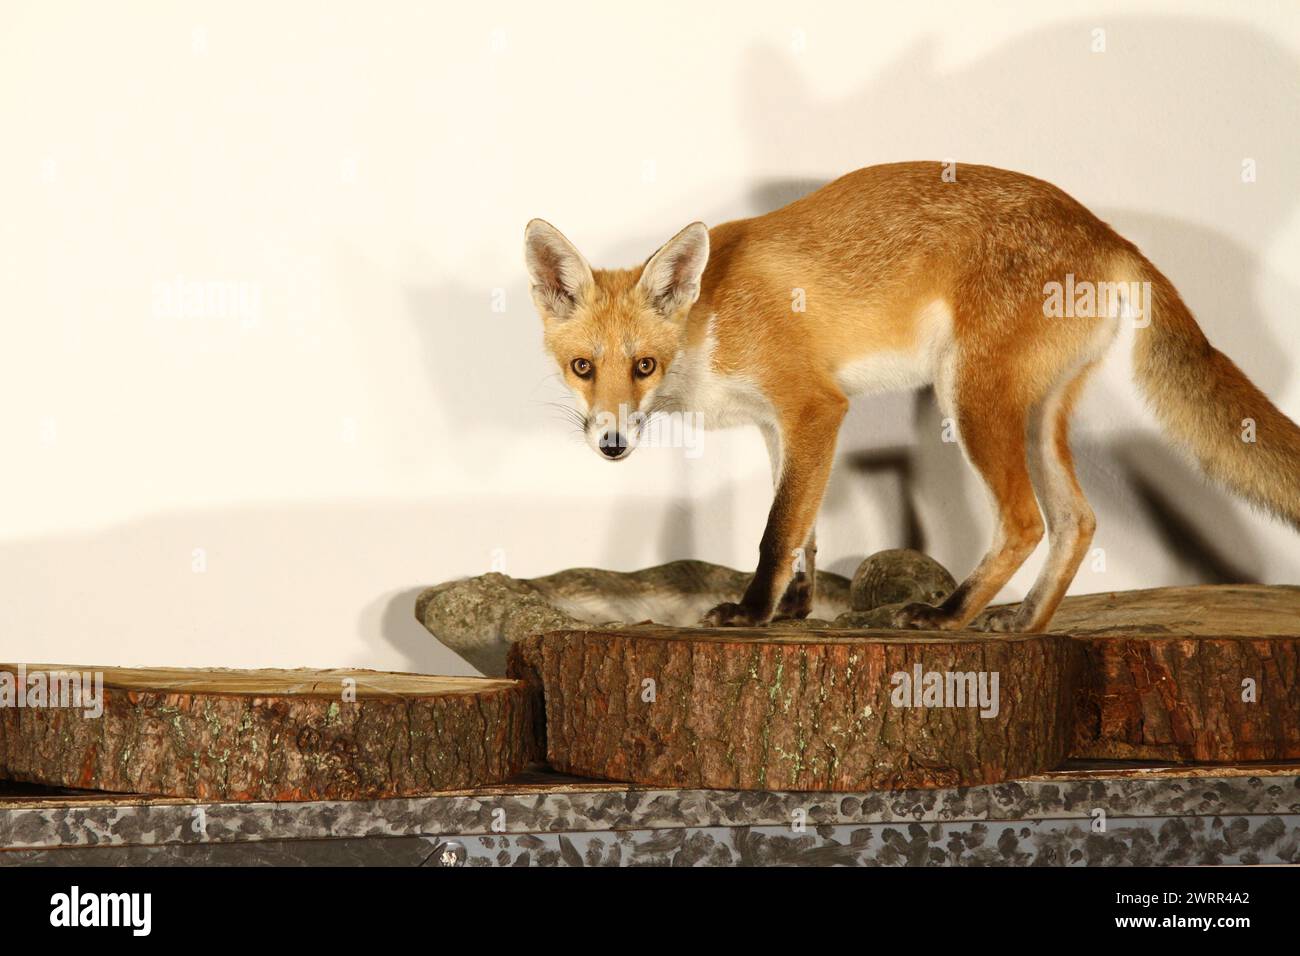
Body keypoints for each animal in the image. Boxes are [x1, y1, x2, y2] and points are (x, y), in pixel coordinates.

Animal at [524, 162, 1300, 632]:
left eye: (644, 365)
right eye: (584, 367)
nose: (611, 445)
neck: (708, 318)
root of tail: (1111, 236)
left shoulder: (814, 407)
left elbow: (777, 529)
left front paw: (750, 613)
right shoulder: (778, 426)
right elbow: (804, 528)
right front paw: (795, 607)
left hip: (971, 397)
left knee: (1026, 522)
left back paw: (950, 616)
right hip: (1040, 412)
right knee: (1078, 522)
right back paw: (1026, 625)